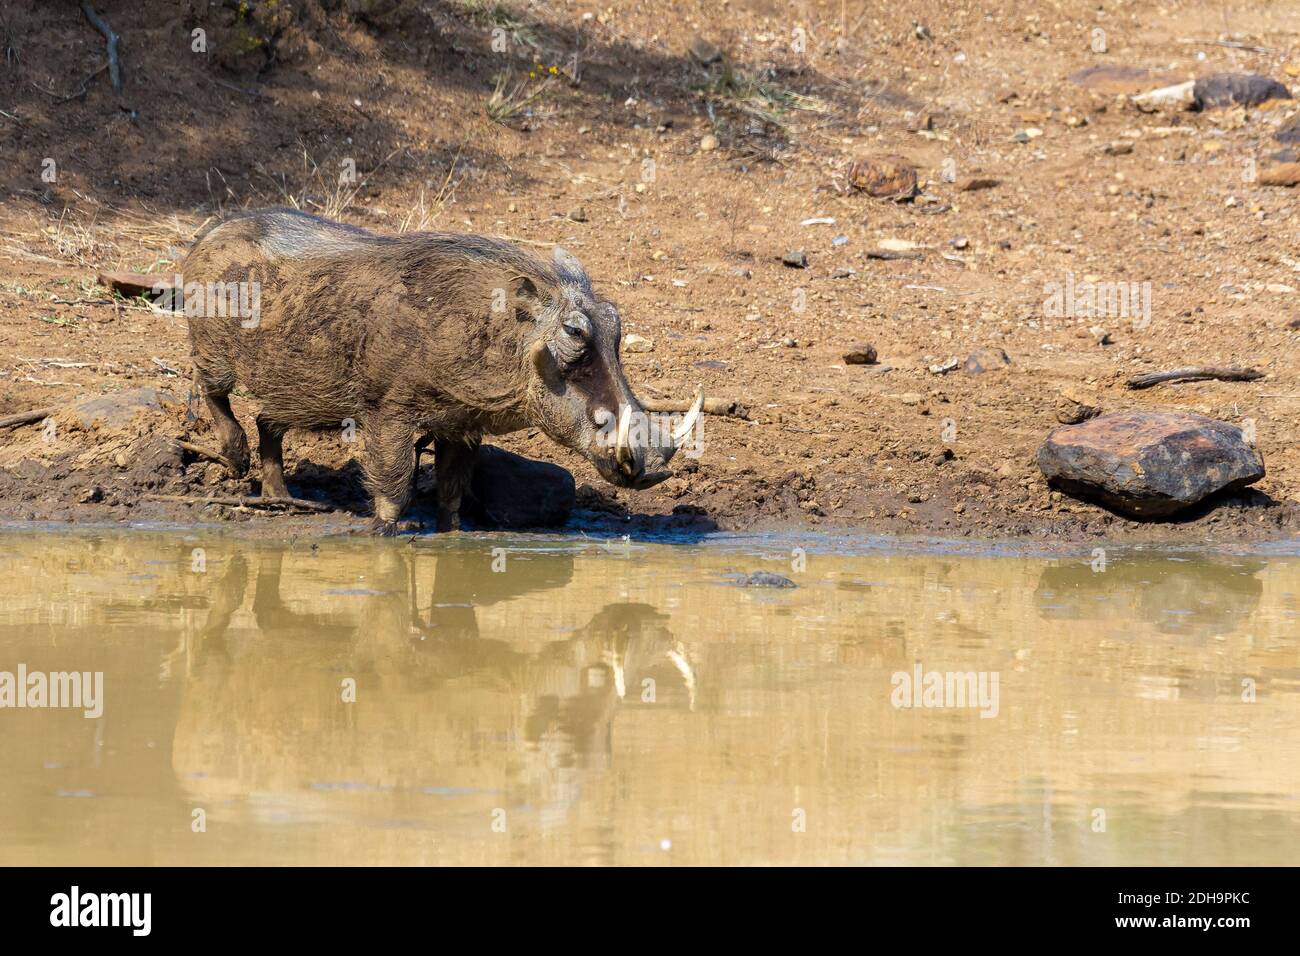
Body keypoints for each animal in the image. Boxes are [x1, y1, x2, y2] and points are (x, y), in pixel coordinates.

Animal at [181, 208, 702, 533]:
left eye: (615, 323)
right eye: (574, 334)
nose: (653, 468)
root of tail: (207, 235)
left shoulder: (462, 424)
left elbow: (451, 491)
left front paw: (452, 537)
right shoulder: (387, 414)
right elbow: (394, 487)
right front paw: (386, 531)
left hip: (292, 390)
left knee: (268, 423)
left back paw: (279, 497)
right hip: (213, 353)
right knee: (212, 393)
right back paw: (236, 458)